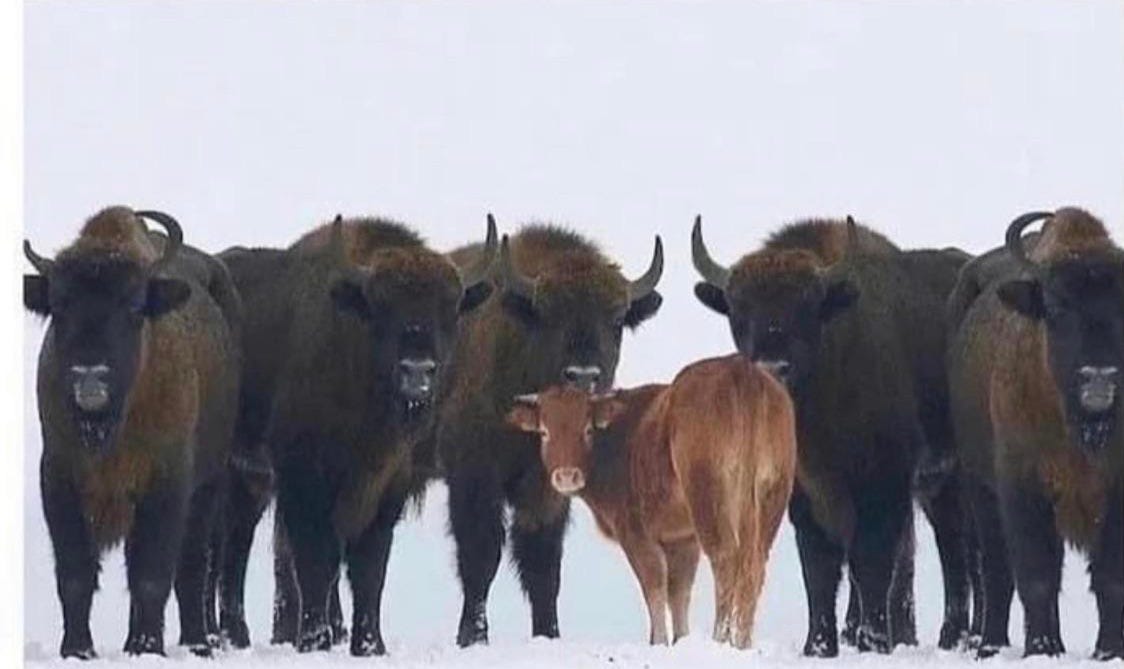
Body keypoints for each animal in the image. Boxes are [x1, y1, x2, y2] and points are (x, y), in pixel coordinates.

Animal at [24, 206, 241, 658]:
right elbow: (75, 575)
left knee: (193, 568)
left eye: (134, 305)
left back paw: (196, 642)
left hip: (208, 485)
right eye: (59, 305)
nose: (90, 377)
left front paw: (148, 647)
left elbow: (153, 576)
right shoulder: (59, 477)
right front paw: (77, 650)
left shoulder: (167, 484)